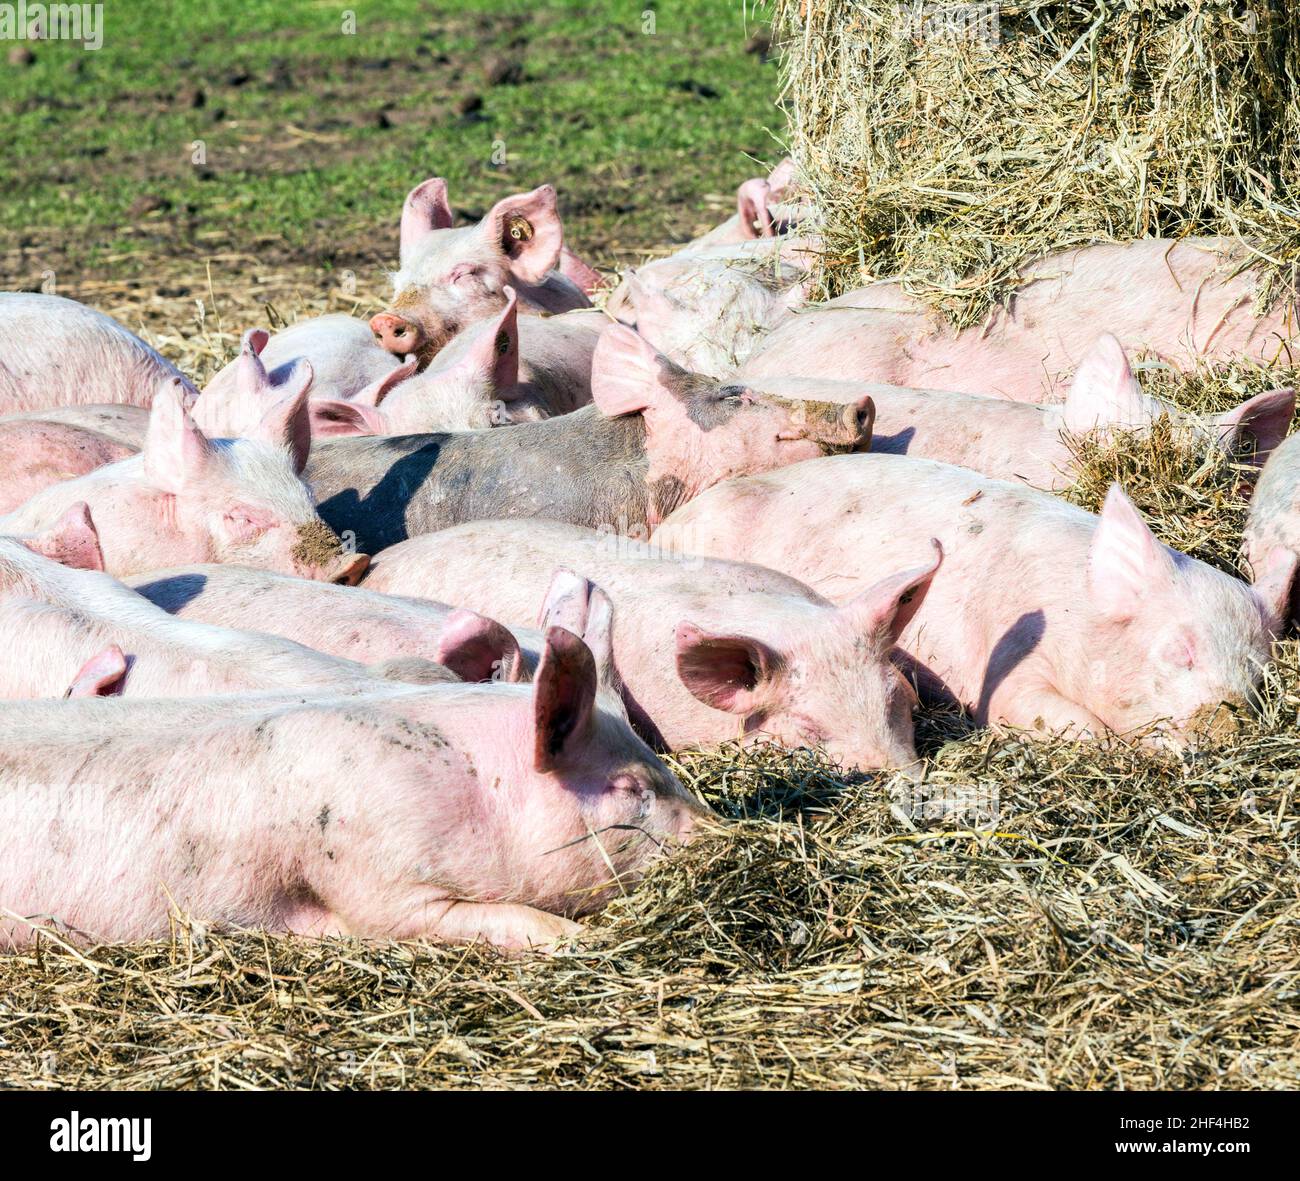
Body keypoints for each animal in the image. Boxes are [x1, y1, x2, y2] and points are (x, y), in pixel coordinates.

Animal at [0, 628, 704, 951]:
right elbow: (516, 920)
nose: (716, 831)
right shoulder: (377, 882)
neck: (479, 792)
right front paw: (587, 941)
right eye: (629, 785)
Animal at [653, 453, 1291, 747]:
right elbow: (1032, 710)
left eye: (1261, 673)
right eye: (1180, 651)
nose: (1226, 726)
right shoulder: (1009, 654)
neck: (1078, 613)